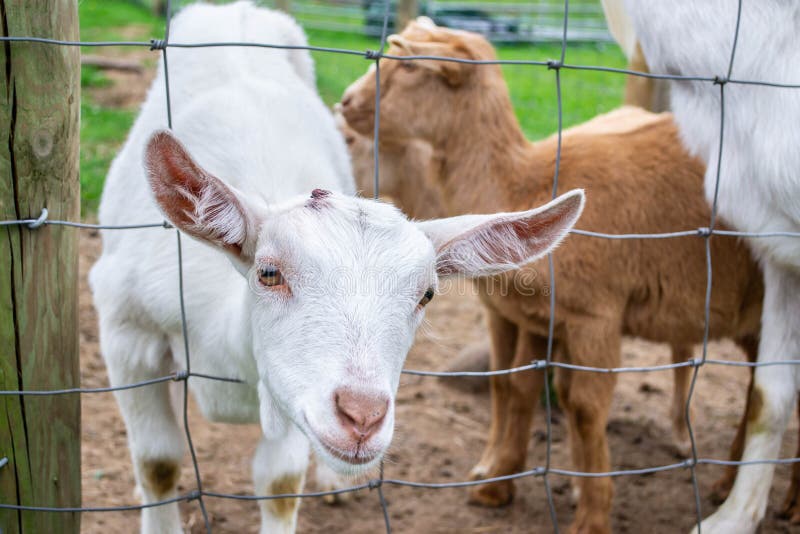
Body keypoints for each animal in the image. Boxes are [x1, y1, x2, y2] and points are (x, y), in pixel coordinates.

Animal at [89, 3, 585, 532]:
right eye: (268, 272)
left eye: (426, 294)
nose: (362, 417)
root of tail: (238, 11)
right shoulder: (126, 331)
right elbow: (158, 464)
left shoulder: (290, 387)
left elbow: (280, 484)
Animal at [339, 19, 764, 533]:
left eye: (410, 66)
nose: (346, 101)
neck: (523, 182)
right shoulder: (535, 316)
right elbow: (518, 386)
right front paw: (496, 484)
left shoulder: (595, 315)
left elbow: (583, 407)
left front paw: (592, 513)